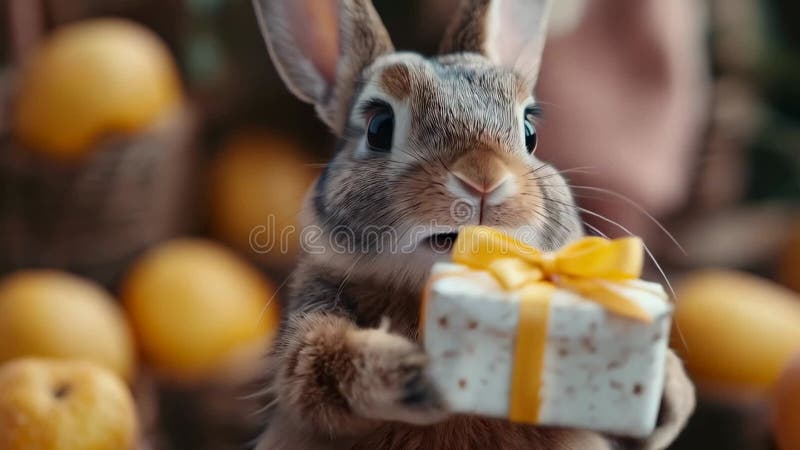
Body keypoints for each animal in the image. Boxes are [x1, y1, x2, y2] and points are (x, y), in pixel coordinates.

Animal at [251, 0, 695, 449]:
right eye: (379, 127)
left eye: (530, 131)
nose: (484, 177)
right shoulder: (310, 324)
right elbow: (315, 364)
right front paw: (413, 374)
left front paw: (668, 394)